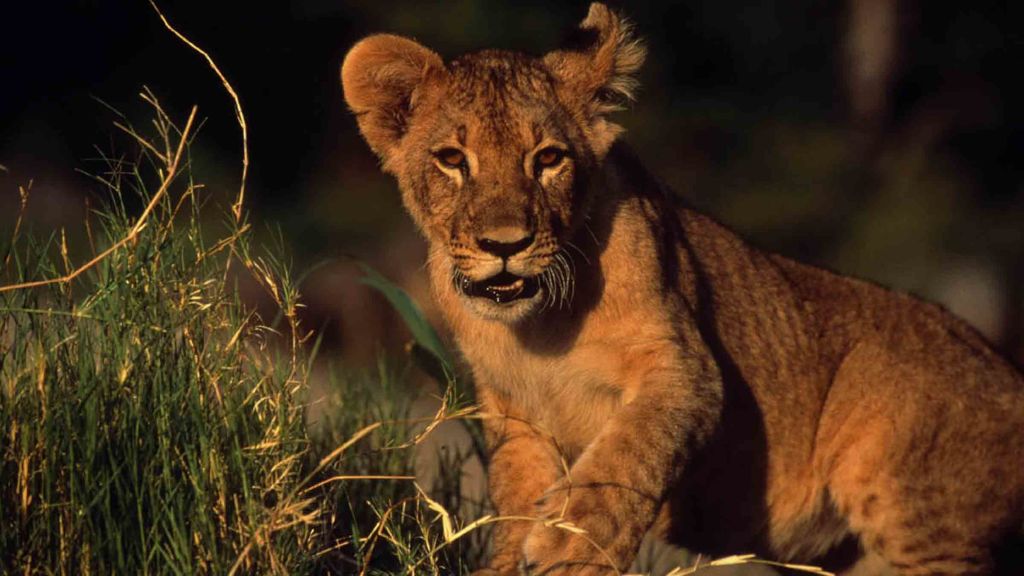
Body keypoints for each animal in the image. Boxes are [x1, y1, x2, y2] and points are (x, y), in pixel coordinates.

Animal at [340, 4, 1024, 575]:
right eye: (453, 160)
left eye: (549, 158)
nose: (504, 243)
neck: (538, 329)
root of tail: (1006, 367)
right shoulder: (514, 411)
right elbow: (515, 494)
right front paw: (518, 554)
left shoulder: (685, 370)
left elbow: (627, 456)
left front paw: (571, 544)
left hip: (920, 510)